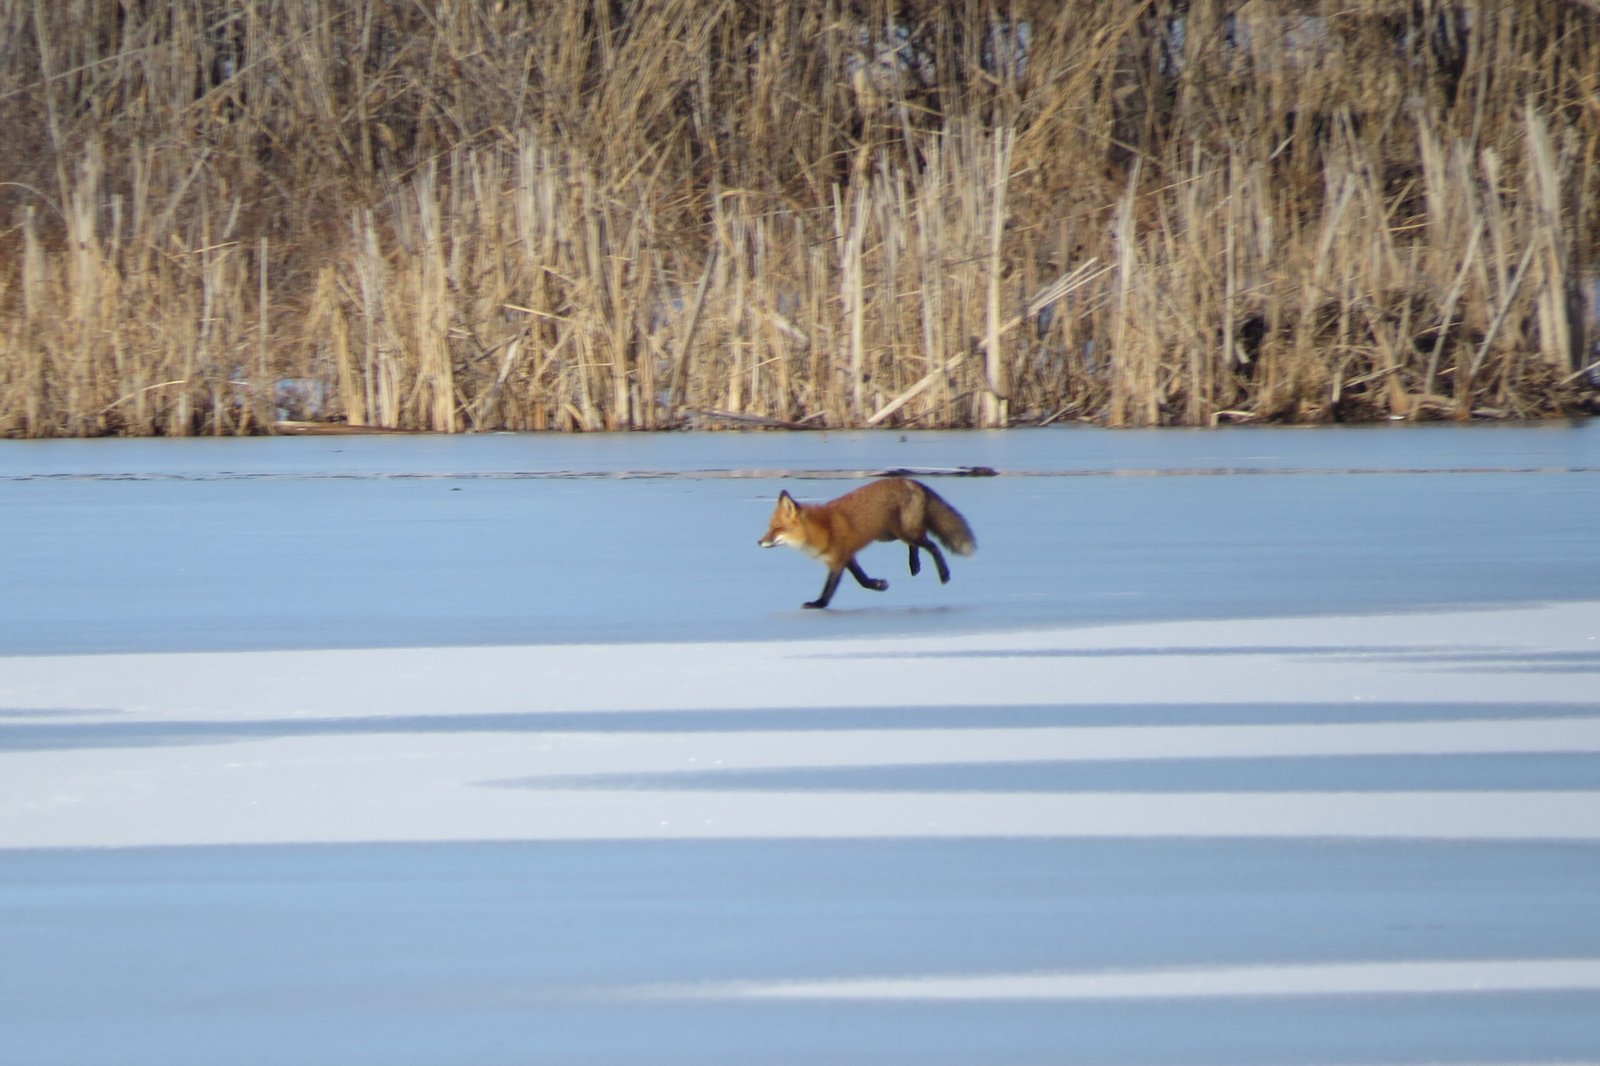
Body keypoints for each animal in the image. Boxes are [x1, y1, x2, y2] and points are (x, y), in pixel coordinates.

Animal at [758, 477, 977, 609]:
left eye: (776, 528)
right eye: (769, 527)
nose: (759, 541)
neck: (822, 529)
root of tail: (910, 480)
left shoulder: (838, 559)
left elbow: (830, 588)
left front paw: (819, 604)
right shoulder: (848, 557)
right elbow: (862, 579)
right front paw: (878, 585)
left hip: (903, 532)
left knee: (932, 545)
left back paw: (943, 574)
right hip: (890, 534)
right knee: (917, 544)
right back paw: (914, 565)